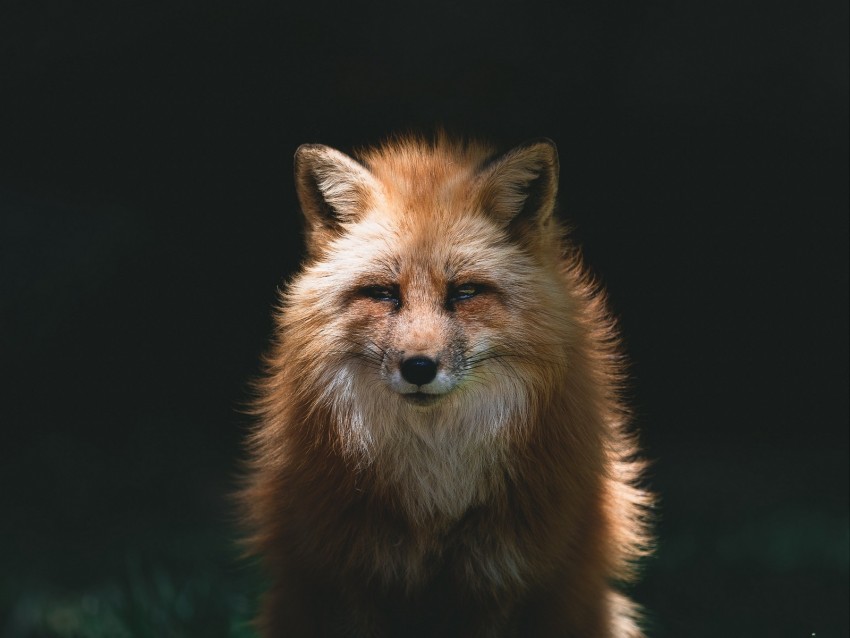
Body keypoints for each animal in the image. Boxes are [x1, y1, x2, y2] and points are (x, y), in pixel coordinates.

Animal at [240, 135, 652, 637]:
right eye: (384, 293)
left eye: (465, 292)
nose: (419, 368)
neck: (436, 491)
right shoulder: (354, 574)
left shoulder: (502, 579)